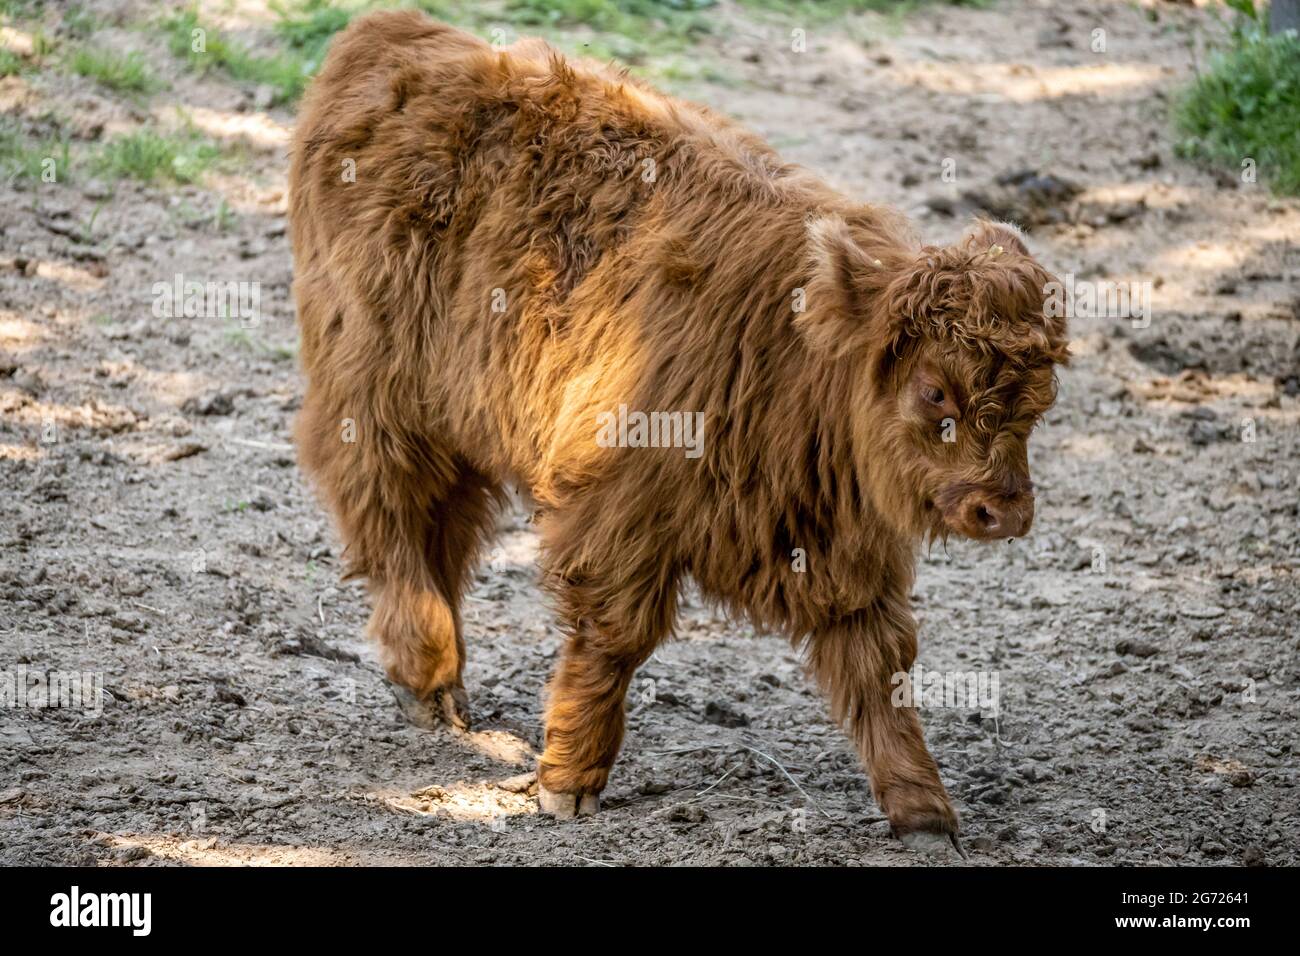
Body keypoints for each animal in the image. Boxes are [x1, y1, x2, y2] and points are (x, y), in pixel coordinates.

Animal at [288, 10, 1069, 855]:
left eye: (1037, 401)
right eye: (933, 391)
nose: (1004, 511)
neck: (793, 348)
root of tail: (398, 33)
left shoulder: (842, 546)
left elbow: (878, 667)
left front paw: (923, 812)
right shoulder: (617, 514)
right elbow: (613, 640)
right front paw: (566, 783)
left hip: (460, 425)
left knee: (445, 537)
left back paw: (451, 690)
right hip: (379, 404)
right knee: (392, 522)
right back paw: (427, 680)